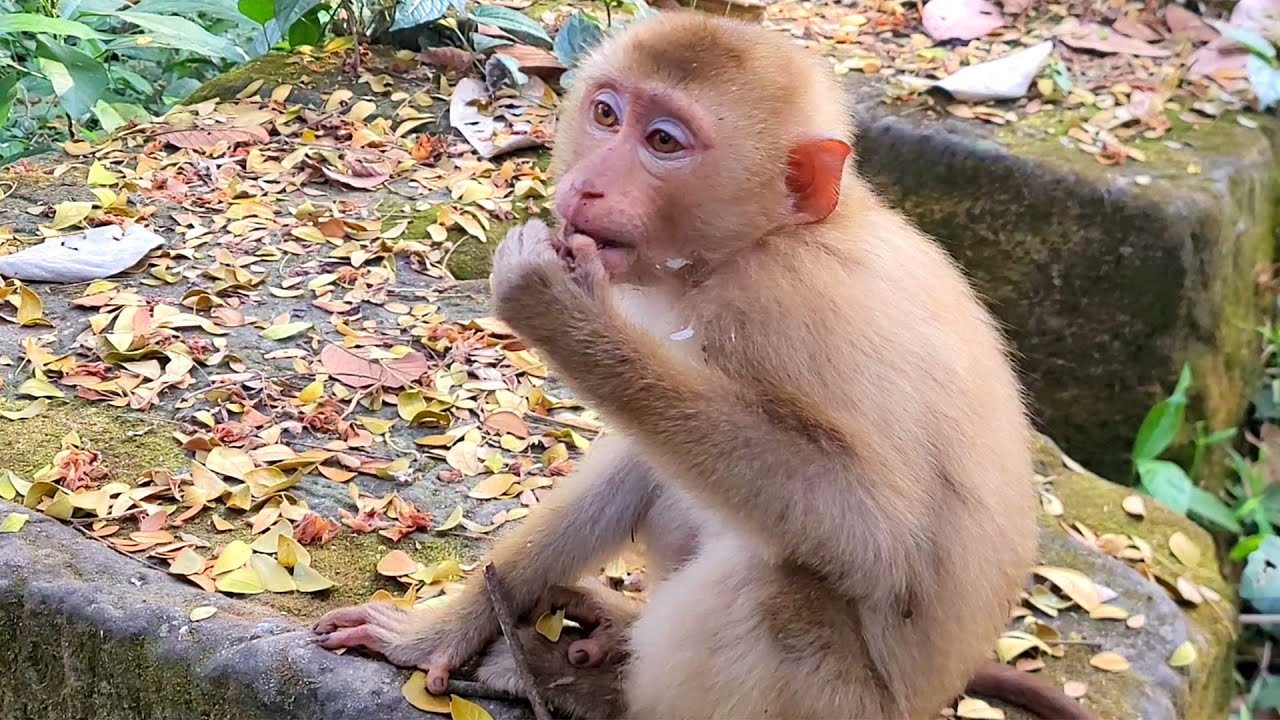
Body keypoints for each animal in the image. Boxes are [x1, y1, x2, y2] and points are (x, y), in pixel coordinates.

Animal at [313, 11, 1094, 720]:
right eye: (606, 114)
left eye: (664, 142)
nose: (587, 186)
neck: (761, 242)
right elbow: (634, 458)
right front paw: (439, 630)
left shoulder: (791, 306)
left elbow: (880, 533)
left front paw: (557, 308)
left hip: (844, 708)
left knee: (769, 593)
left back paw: (588, 689)